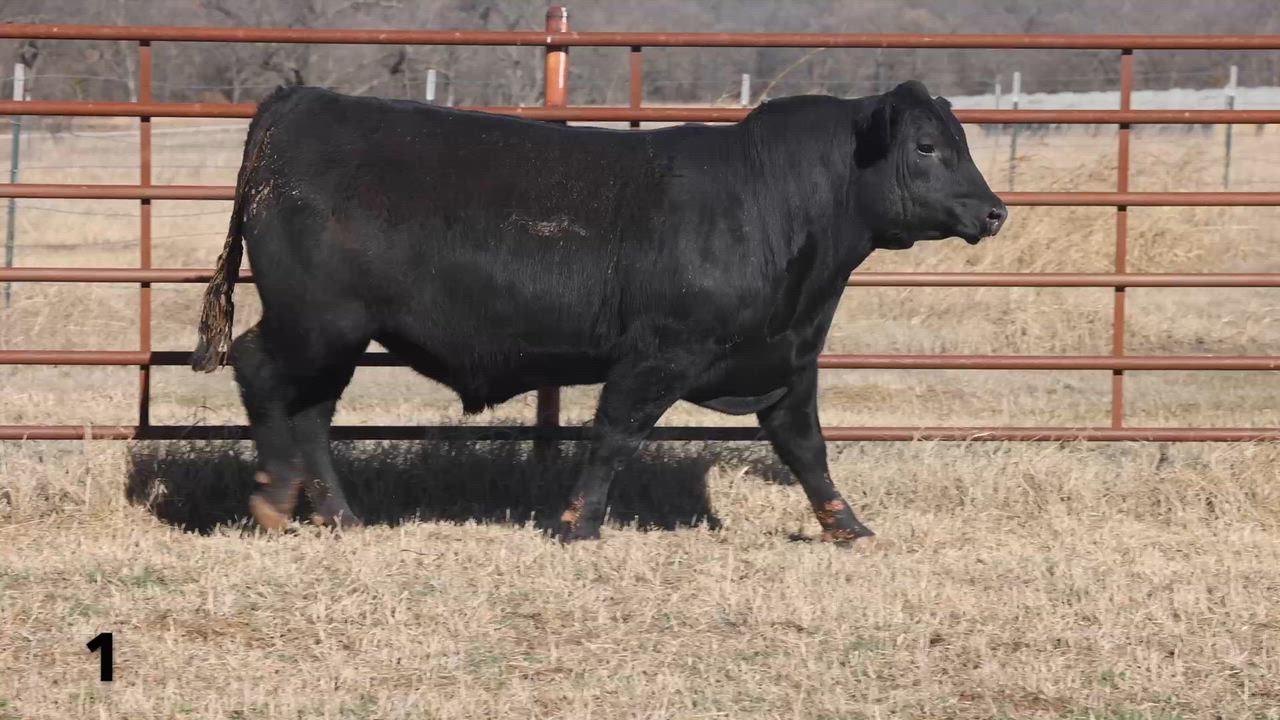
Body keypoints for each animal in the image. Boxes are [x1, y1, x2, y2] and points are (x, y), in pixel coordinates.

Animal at [190, 80, 1006, 543]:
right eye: (926, 146)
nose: (994, 211)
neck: (773, 202)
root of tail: (303, 101)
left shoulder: (787, 360)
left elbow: (808, 452)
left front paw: (851, 528)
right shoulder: (659, 353)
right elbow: (614, 435)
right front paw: (578, 524)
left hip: (337, 338)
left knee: (311, 413)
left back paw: (336, 517)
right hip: (317, 324)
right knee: (263, 376)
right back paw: (274, 499)